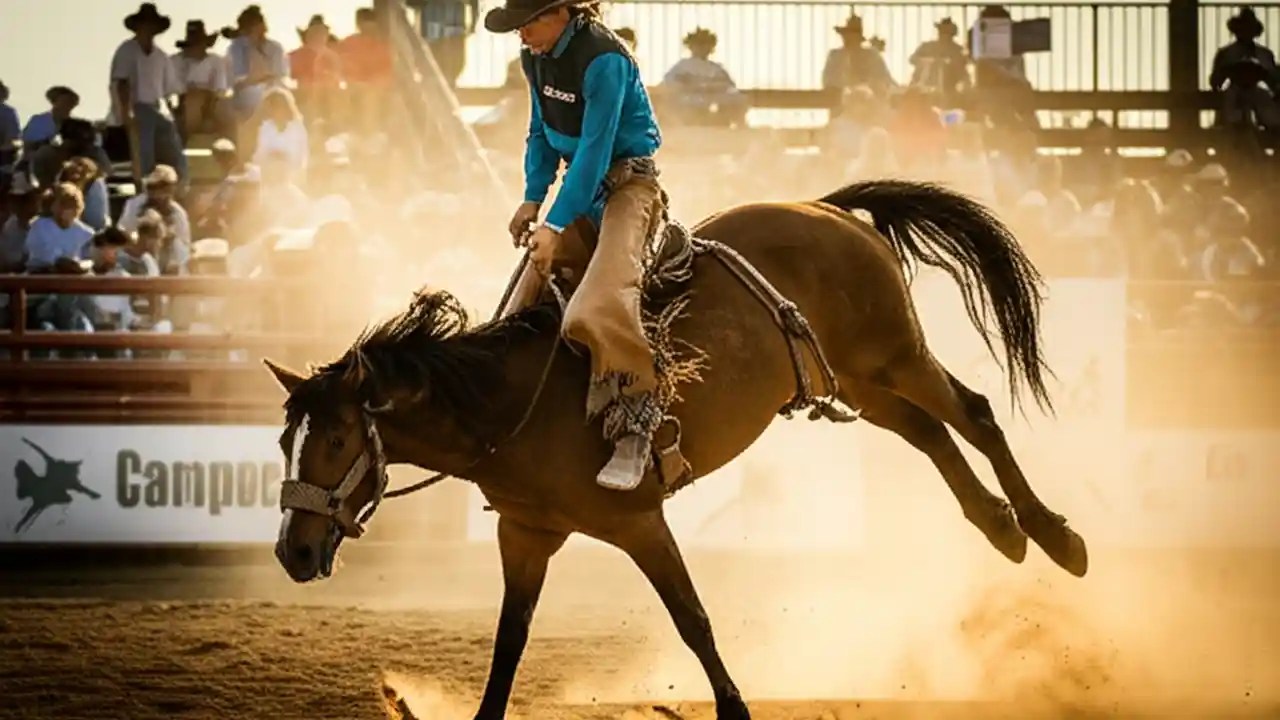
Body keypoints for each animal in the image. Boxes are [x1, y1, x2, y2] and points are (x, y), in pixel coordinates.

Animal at [265, 180, 1087, 720]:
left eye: (336, 436)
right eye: (284, 439)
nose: (292, 553)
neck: (515, 403)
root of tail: (827, 208)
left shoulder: (638, 521)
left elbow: (693, 620)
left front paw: (735, 710)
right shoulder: (525, 532)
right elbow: (508, 642)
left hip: (896, 355)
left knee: (976, 415)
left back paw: (1056, 537)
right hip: (862, 381)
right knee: (931, 435)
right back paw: (1002, 528)